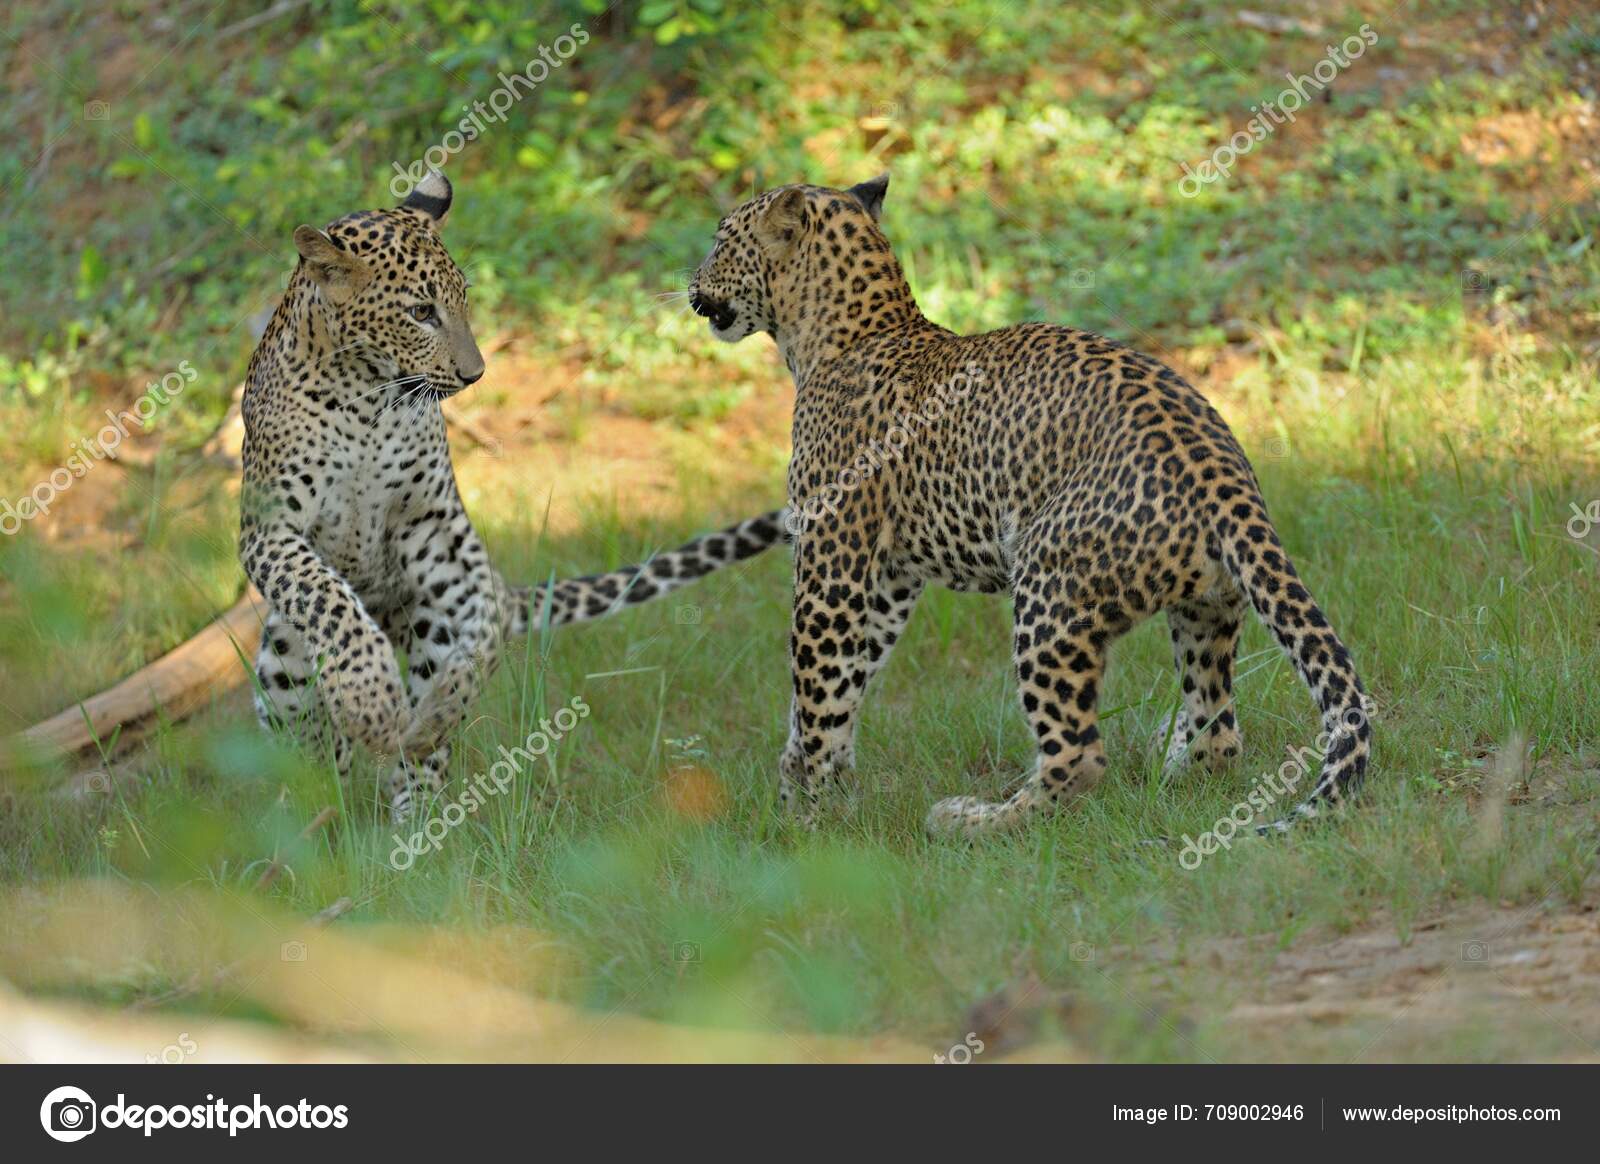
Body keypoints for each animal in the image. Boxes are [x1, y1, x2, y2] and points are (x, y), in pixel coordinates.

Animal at [240, 170, 784, 820]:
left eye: (463, 299)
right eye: (420, 312)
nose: (474, 375)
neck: (365, 399)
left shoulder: (435, 525)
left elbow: (481, 627)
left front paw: (443, 704)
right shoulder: (270, 530)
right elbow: (329, 601)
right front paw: (371, 697)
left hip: (422, 619)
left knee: (418, 743)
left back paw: (418, 814)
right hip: (282, 660)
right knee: (310, 740)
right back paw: (309, 812)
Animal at [687, 174, 1372, 838]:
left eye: (721, 240)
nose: (692, 285)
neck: (846, 329)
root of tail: (1222, 471)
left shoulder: (832, 559)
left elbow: (816, 690)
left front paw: (806, 817)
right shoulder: (889, 580)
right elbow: (844, 683)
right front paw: (810, 792)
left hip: (1049, 587)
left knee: (1079, 756)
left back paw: (972, 821)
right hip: (1208, 607)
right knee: (1217, 732)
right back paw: (1168, 769)